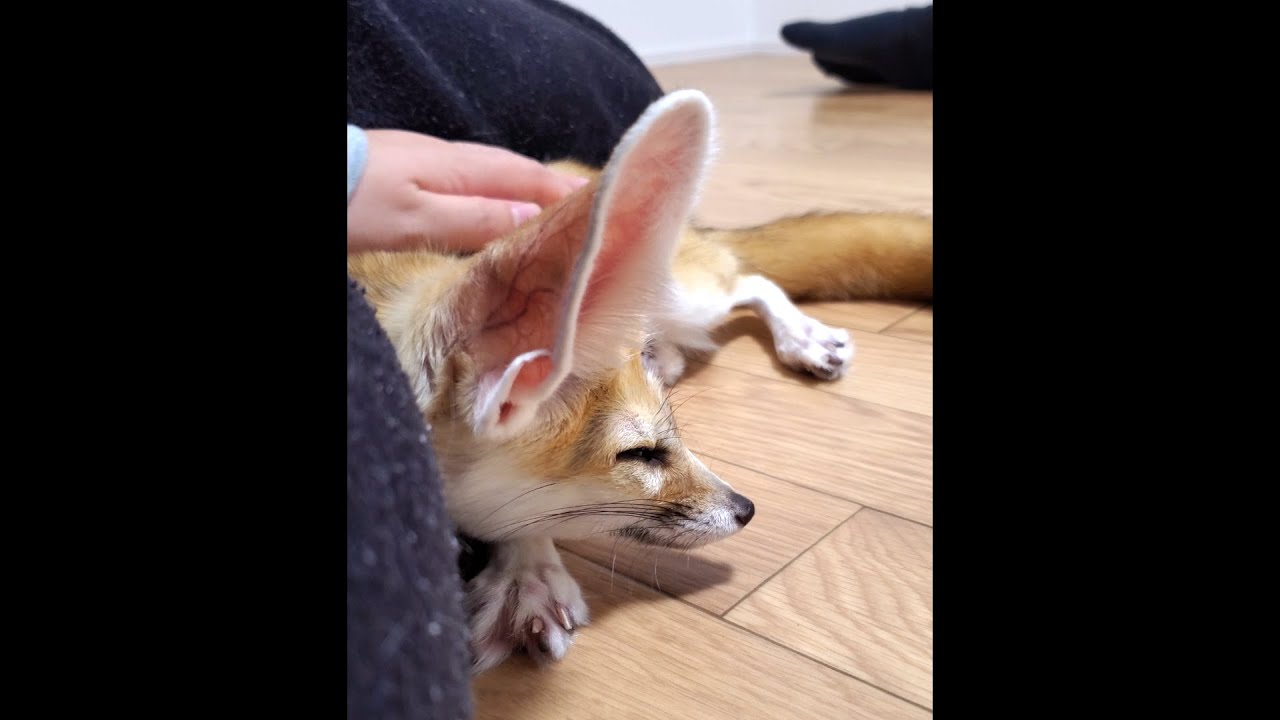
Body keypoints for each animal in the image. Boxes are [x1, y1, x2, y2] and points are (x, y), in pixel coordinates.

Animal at [347, 89, 932, 673]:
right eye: (640, 454)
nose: (746, 509)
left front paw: (528, 571)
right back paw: (668, 354)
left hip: (681, 295)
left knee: (749, 278)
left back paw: (802, 338)